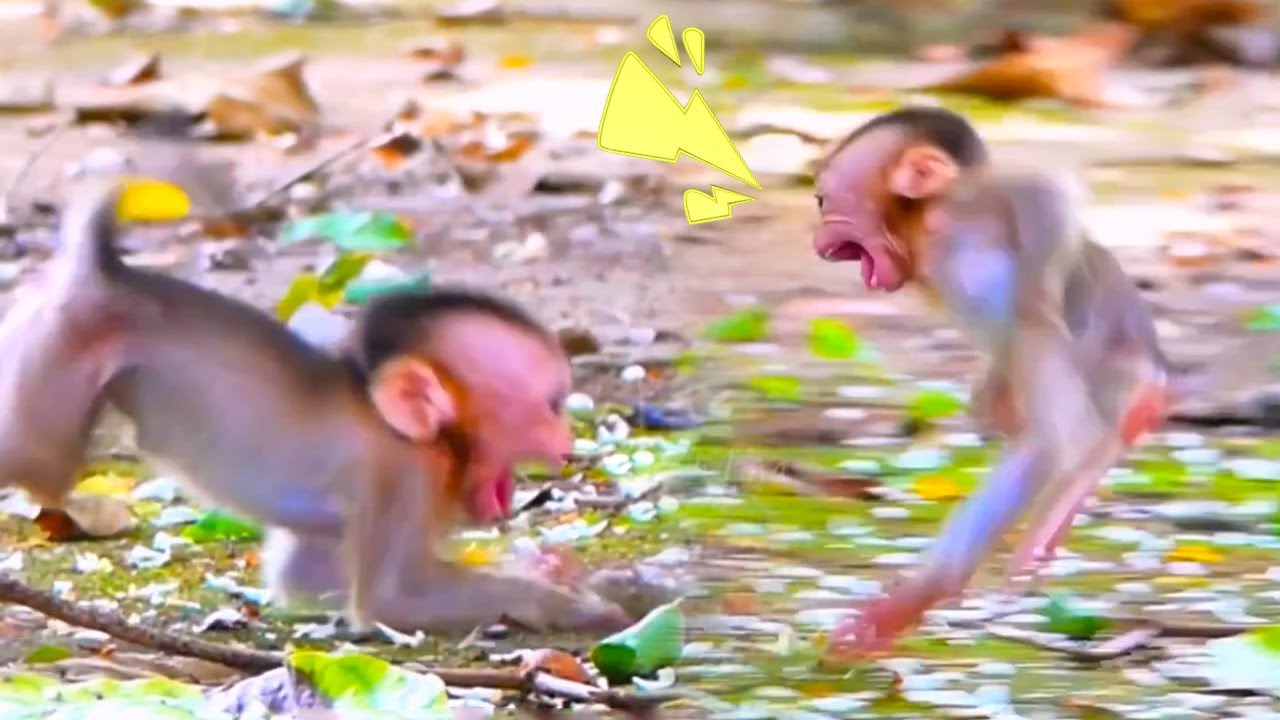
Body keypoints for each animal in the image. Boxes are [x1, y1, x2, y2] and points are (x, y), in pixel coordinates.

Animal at [0, 175, 630, 634]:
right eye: (552, 405)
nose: (567, 441)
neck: (407, 430)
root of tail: (100, 273)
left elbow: (305, 580)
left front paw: (558, 569)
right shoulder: (401, 475)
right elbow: (391, 601)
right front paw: (568, 603)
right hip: (58, 342)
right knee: (39, 461)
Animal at [809, 106, 1278, 655]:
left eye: (824, 200)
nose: (818, 239)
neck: (931, 229)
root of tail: (1157, 367)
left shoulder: (991, 201)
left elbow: (1049, 200)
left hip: (1108, 367)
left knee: (1042, 344)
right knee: (1036, 422)